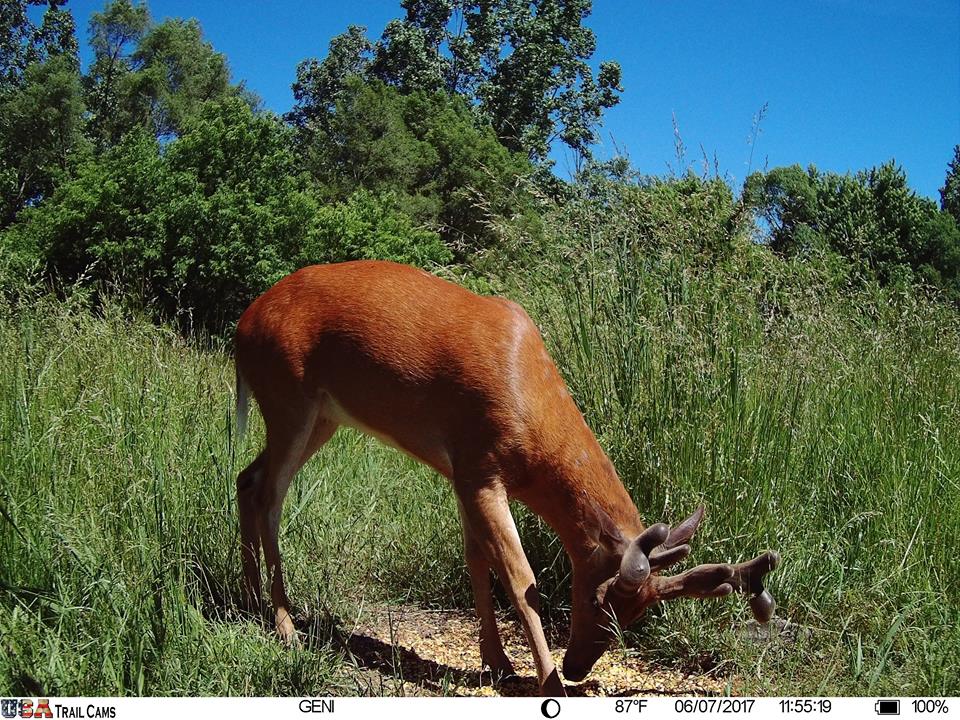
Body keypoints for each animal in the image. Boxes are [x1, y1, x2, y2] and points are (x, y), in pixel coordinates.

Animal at [233, 260, 780, 696]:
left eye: (636, 615)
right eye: (594, 598)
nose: (578, 667)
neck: (528, 407)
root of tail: (243, 325)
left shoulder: (462, 472)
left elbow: (476, 557)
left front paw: (497, 662)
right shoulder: (480, 469)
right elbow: (521, 579)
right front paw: (546, 679)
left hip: (322, 417)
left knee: (247, 479)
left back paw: (253, 600)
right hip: (289, 398)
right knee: (269, 494)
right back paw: (284, 624)